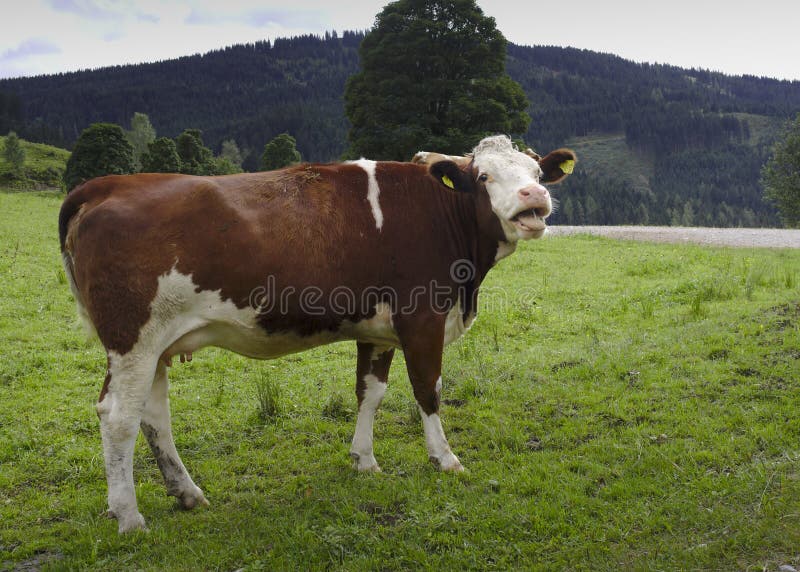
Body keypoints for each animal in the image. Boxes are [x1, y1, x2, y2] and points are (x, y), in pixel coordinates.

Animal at [58, 135, 576, 532]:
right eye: (484, 177)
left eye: (535, 170)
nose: (534, 197)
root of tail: (109, 184)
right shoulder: (423, 317)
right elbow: (428, 390)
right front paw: (444, 459)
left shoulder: (379, 329)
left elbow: (370, 391)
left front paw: (364, 460)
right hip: (134, 337)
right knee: (118, 416)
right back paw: (129, 517)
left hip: (158, 343)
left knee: (152, 414)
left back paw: (187, 493)